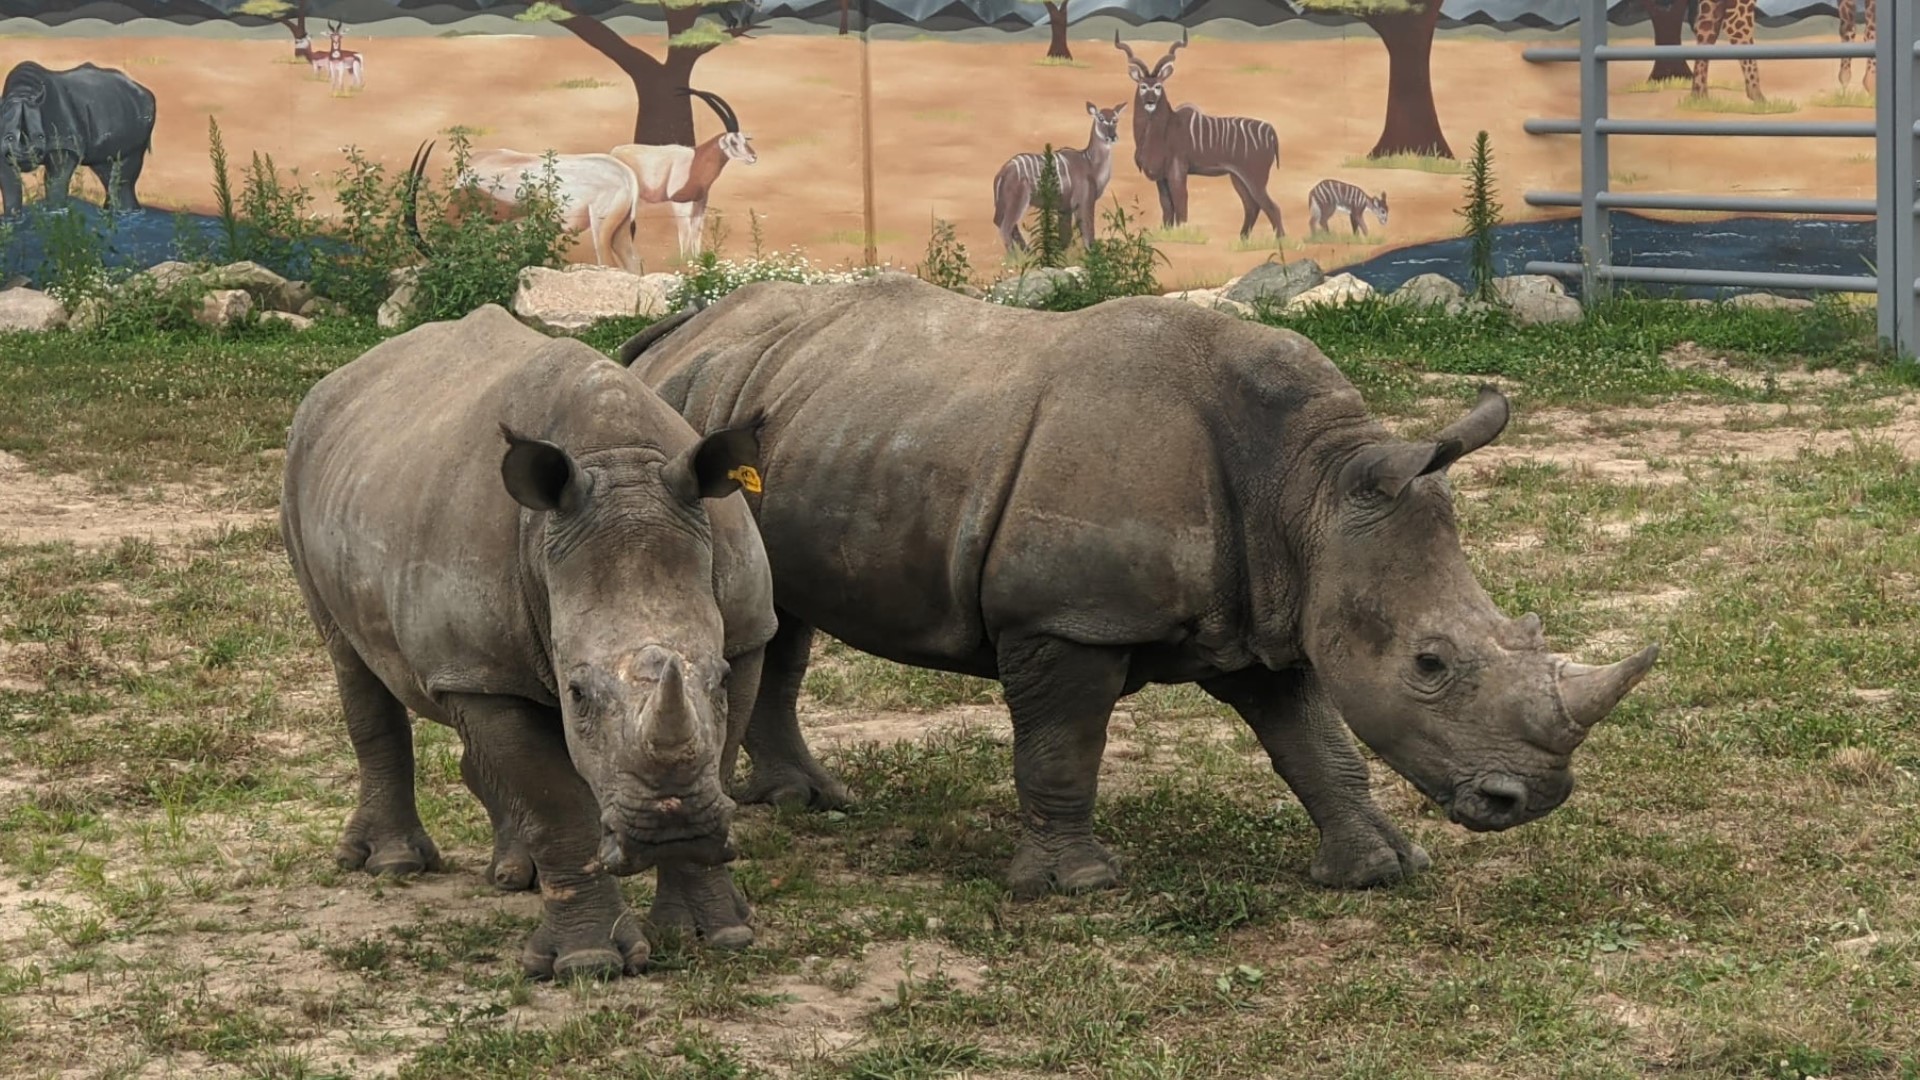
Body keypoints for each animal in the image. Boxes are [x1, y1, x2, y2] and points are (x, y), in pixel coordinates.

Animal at [281, 304, 775, 979]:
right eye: (578, 693)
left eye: (719, 678)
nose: (670, 829)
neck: (619, 464)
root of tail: (338, 380)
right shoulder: (481, 668)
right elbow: (553, 800)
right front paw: (587, 963)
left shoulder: (748, 633)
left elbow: (717, 757)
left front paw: (715, 933)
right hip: (299, 470)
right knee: (350, 661)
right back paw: (393, 865)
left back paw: (518, 875)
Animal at [623, 274, 1659, 898]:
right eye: (1430, 664)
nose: (1531, 800)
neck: (1309, 487)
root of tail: (679, 334)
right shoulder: (1067, 617)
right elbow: (1062, 747)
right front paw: (1074, 889)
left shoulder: (1278, 605)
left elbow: (1318, 744)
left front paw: (1379, 870)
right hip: (694, 433)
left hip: (815, 418)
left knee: (784, 618)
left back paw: (808, 803)